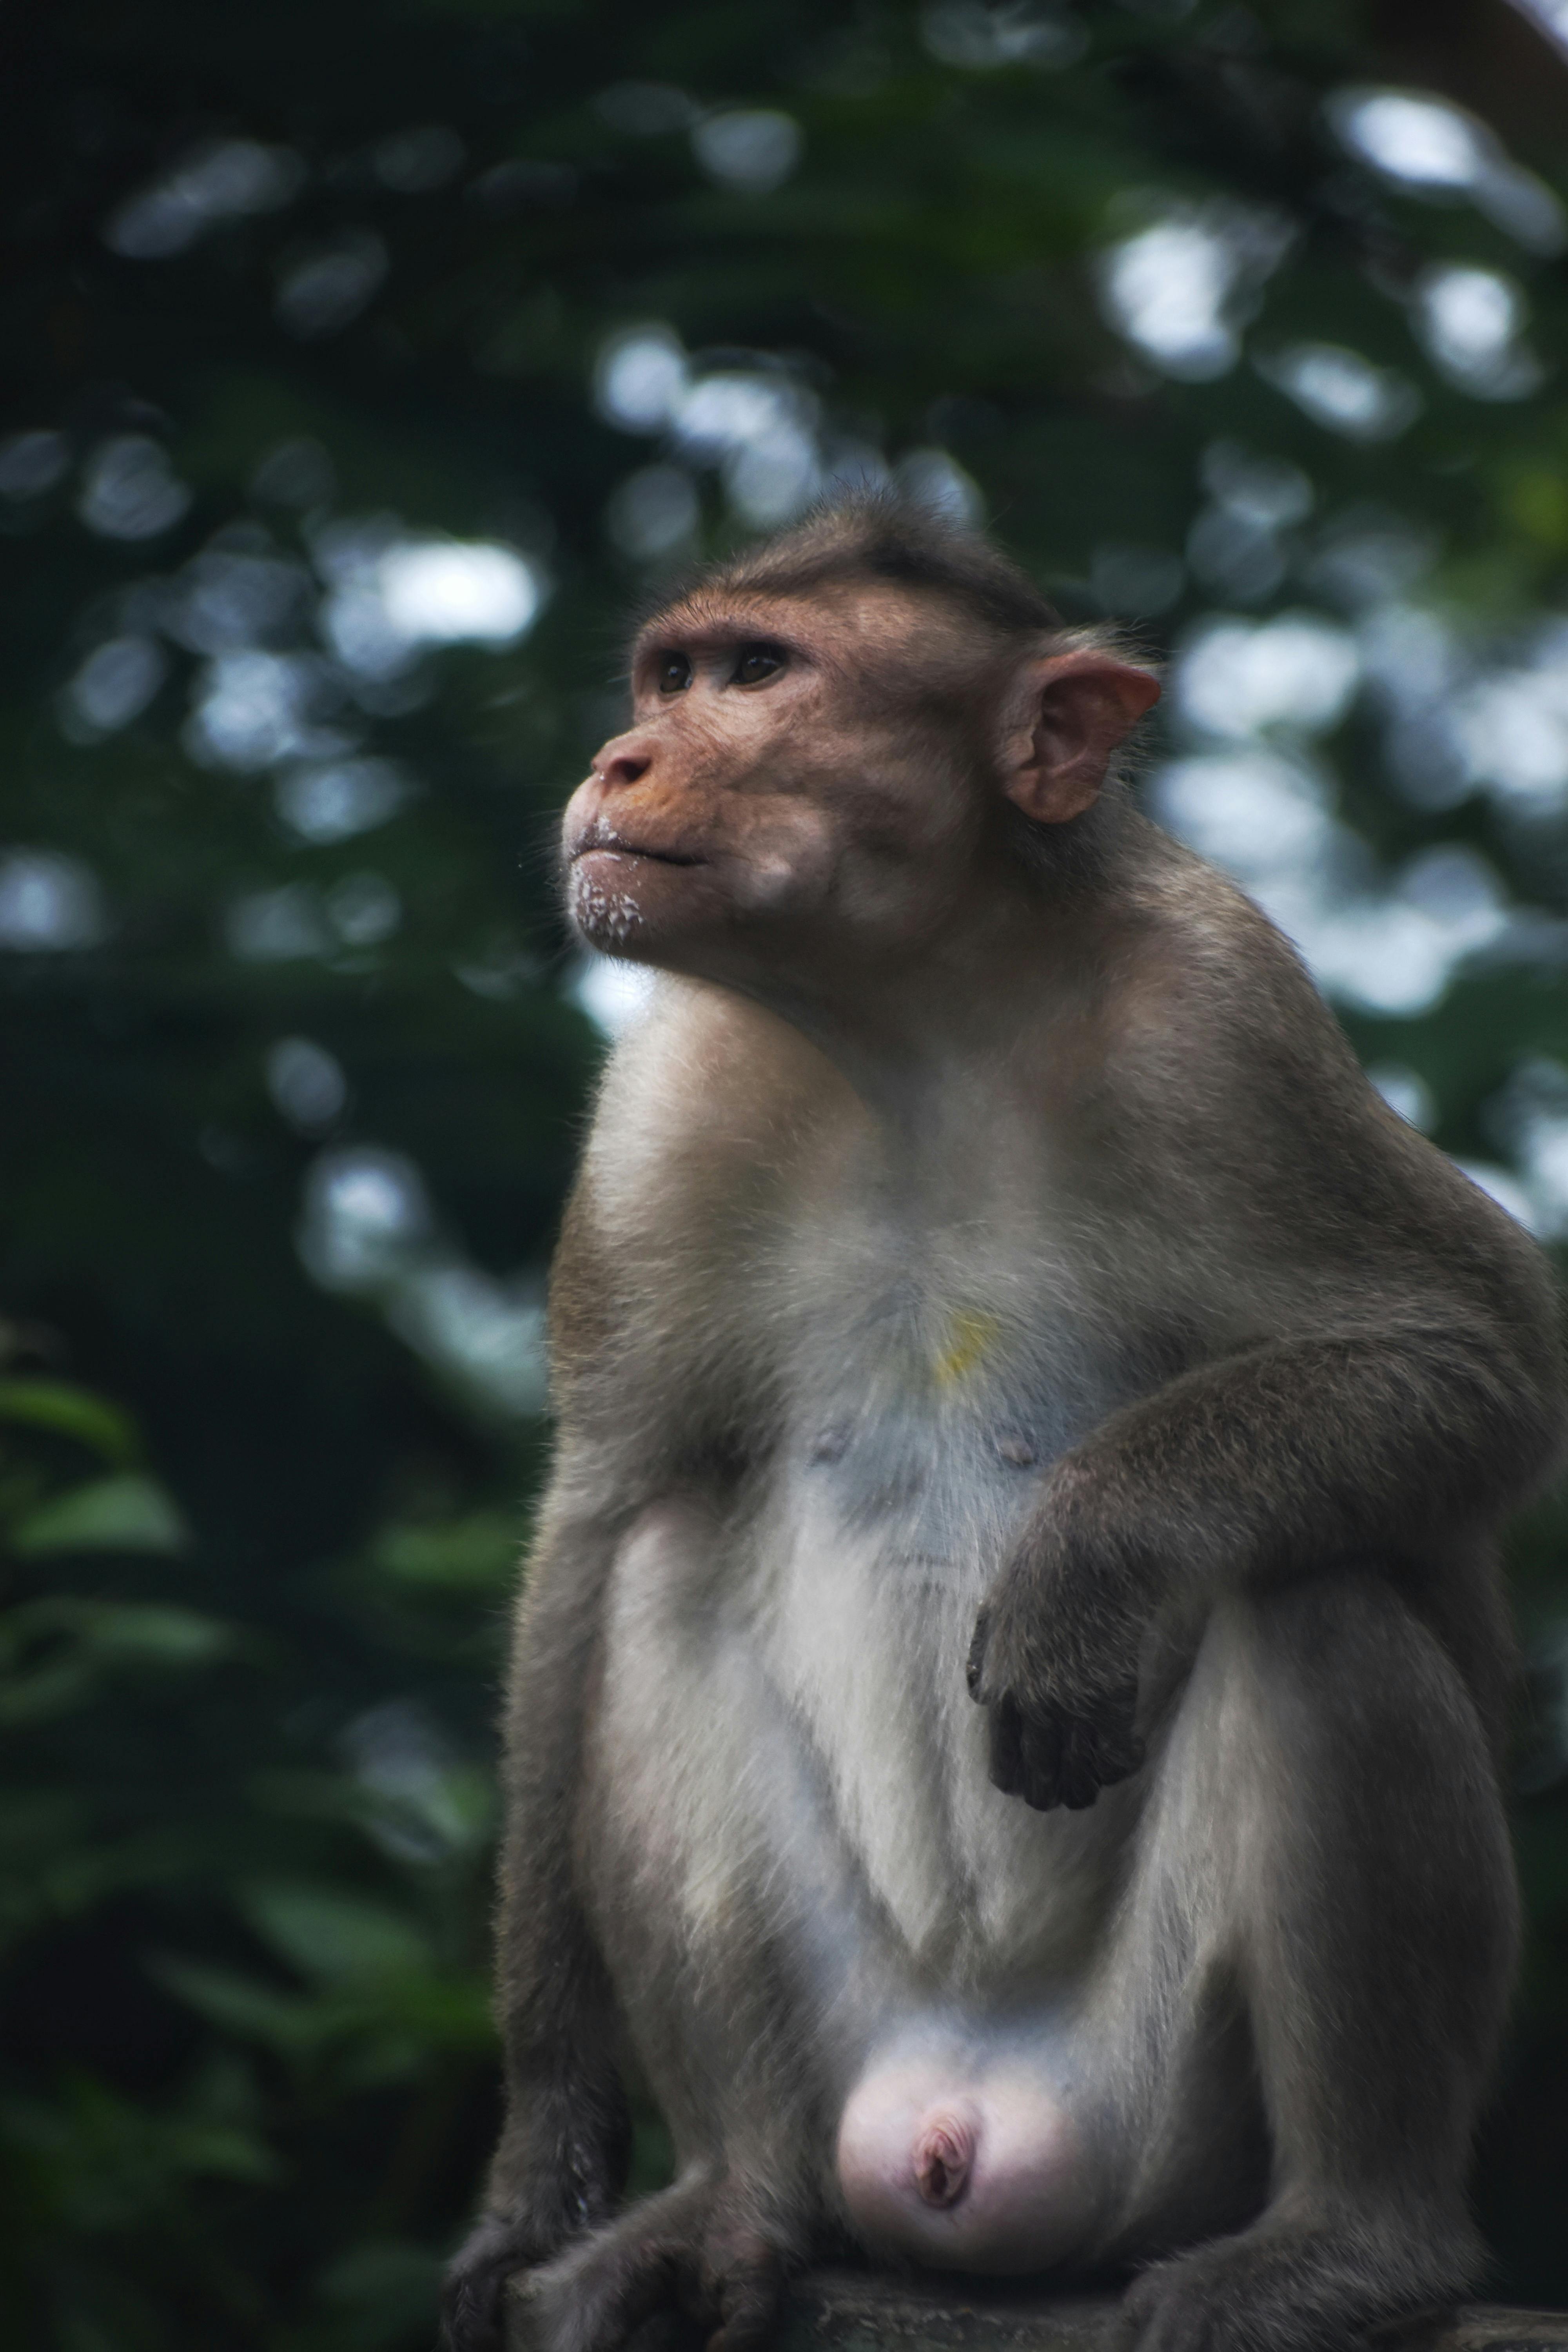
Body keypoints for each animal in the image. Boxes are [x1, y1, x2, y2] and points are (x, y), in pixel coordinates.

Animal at [442, 495, 1566, 2352]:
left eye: (757, 673)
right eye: (669, 675)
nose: (619, 757)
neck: (913, 1011)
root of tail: (958, 2133)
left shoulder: (1223, 1017)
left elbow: (1474, 1358)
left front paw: (1088, 1563)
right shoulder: (660, 1105)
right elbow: (601, 1511)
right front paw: (540, 2161)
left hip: (1168, 2122)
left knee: (1314, 1600)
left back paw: (1356, 2240)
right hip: (852, 2071)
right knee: (662, 1569)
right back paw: (727, 2199)